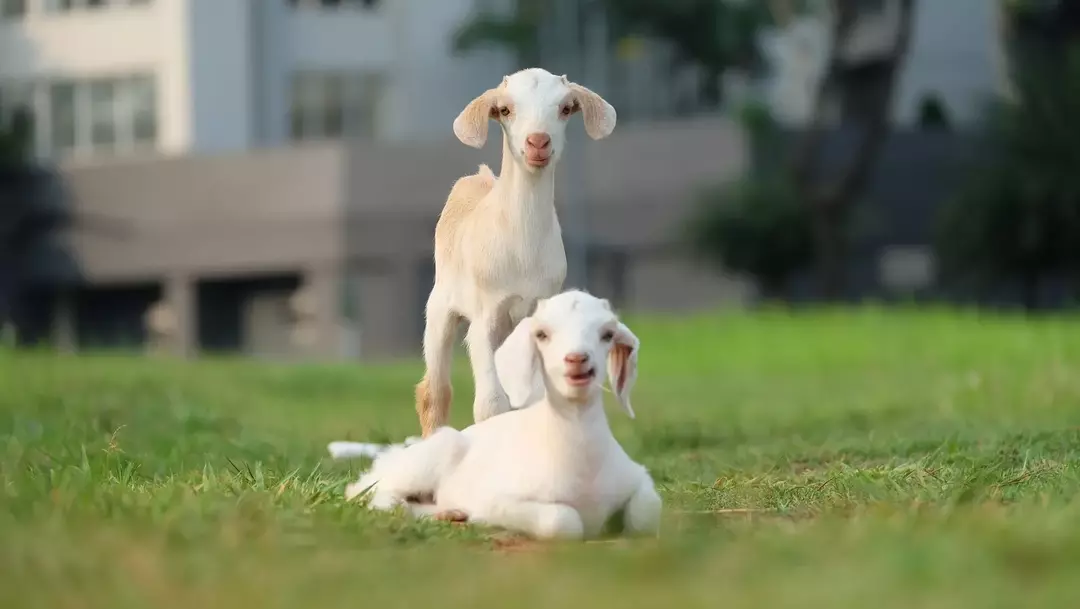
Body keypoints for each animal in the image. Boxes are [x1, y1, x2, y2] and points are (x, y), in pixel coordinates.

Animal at [412, 67, 617, 438]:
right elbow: (491, 405)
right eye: (505, 110)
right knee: (434, 392)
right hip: (439, 309)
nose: (538, 142)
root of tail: (477, 178)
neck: (522, 248)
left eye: (565, 108)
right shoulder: (485, 315)